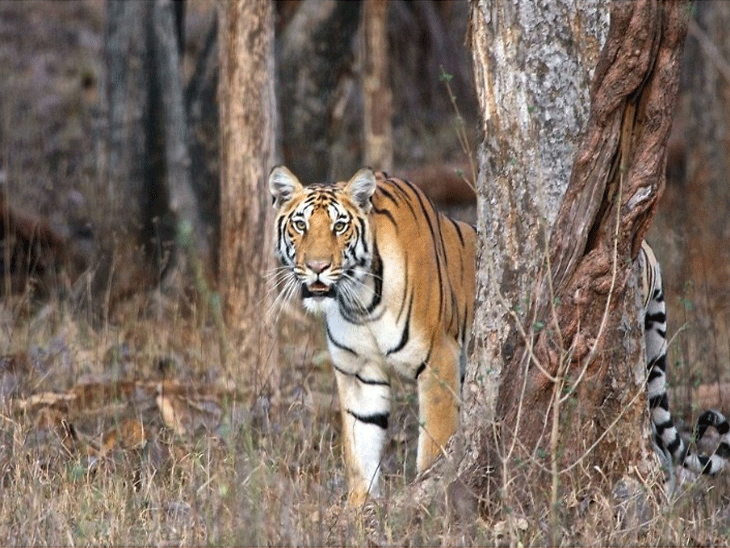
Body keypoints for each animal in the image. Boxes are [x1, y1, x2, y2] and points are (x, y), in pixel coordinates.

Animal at [269, 166, 476, 505]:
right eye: (300, 225)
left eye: (339, 226)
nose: (317, 267)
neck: (360, 301)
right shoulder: (359, 371)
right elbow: (361, 446)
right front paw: (359, 508)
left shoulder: (440, 359)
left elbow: (435, 443)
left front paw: (432, 497)